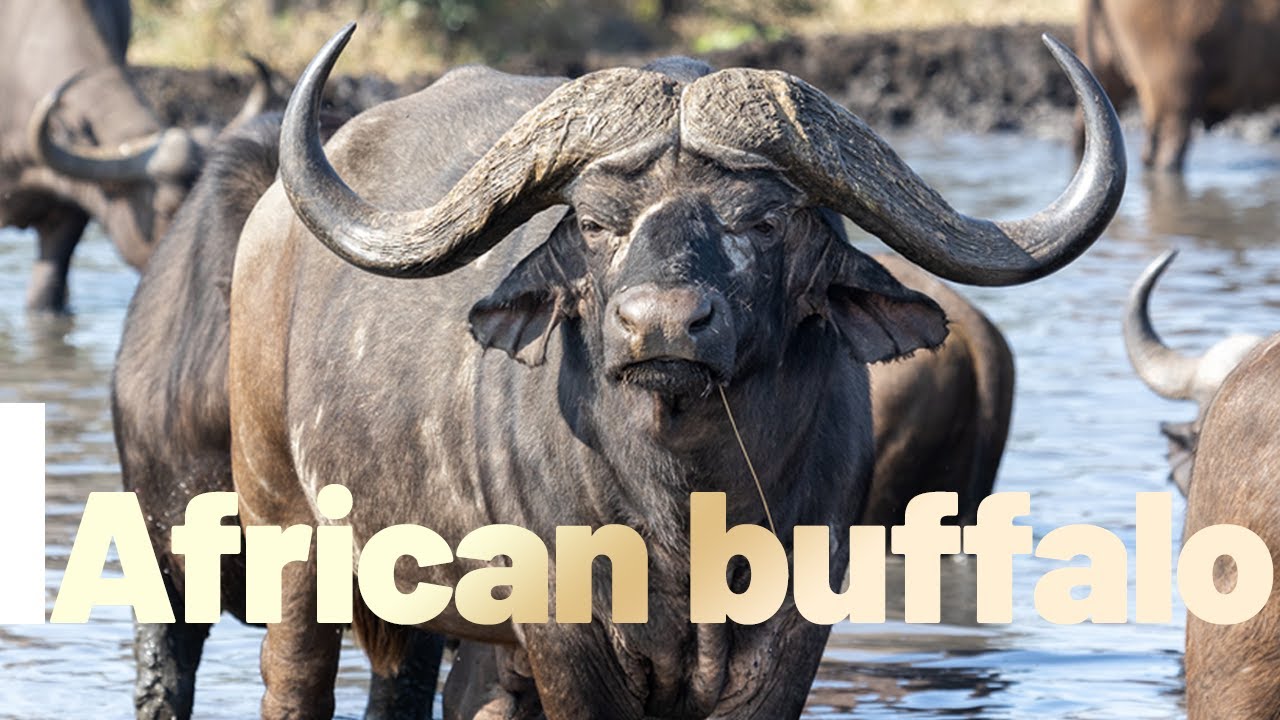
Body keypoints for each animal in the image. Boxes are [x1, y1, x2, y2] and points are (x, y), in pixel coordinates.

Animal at [226, 25, 1122, 718]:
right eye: (594, 222)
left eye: (764, 220)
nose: (660, 325)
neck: (684, 506)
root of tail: (268, 230)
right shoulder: (568, 636)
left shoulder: (790, 638)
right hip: (285, 527)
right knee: (295, 677)